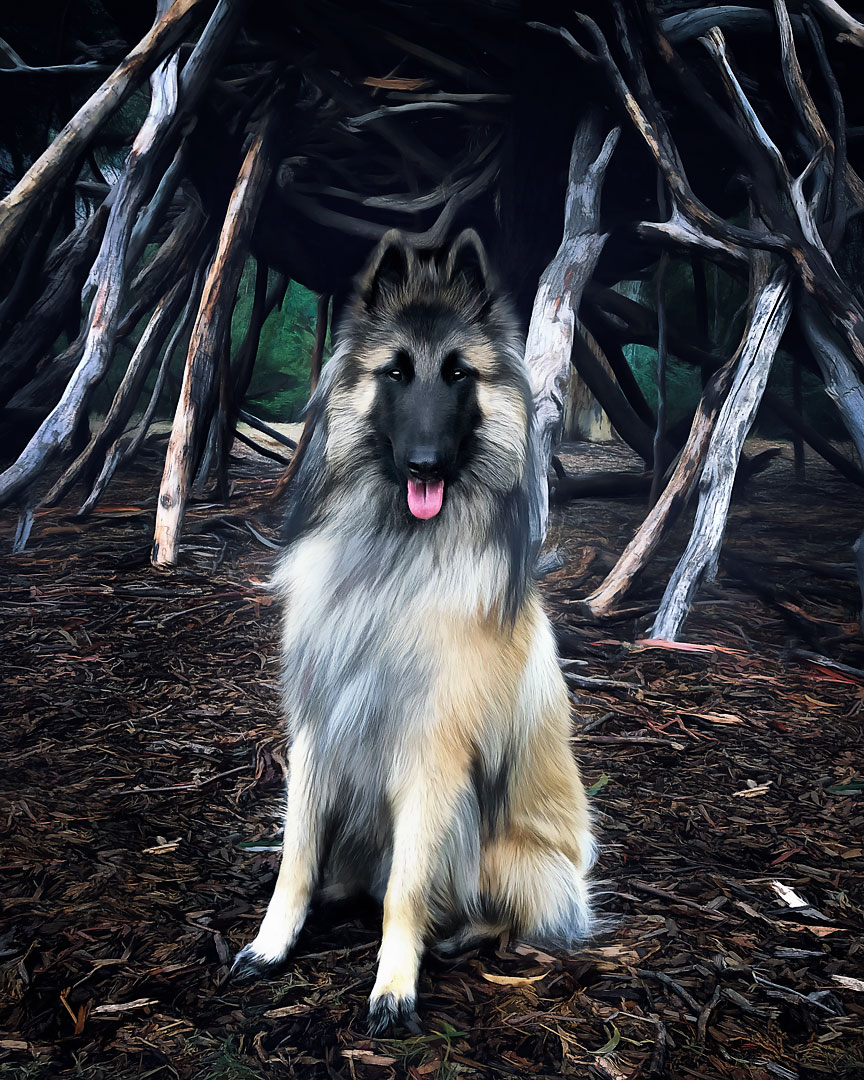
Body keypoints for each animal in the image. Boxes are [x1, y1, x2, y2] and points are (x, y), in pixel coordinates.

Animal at [232, 228, 595, 1032]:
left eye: (459, 375)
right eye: (396, 372)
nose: (425, 463)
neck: (394, 556)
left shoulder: (432, 761)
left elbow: (406, 888)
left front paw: (394, 982)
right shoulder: (318, 732)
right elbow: (296, 854)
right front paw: (274, 941)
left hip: (508, 855)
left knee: (506, 914)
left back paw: (457, 934)